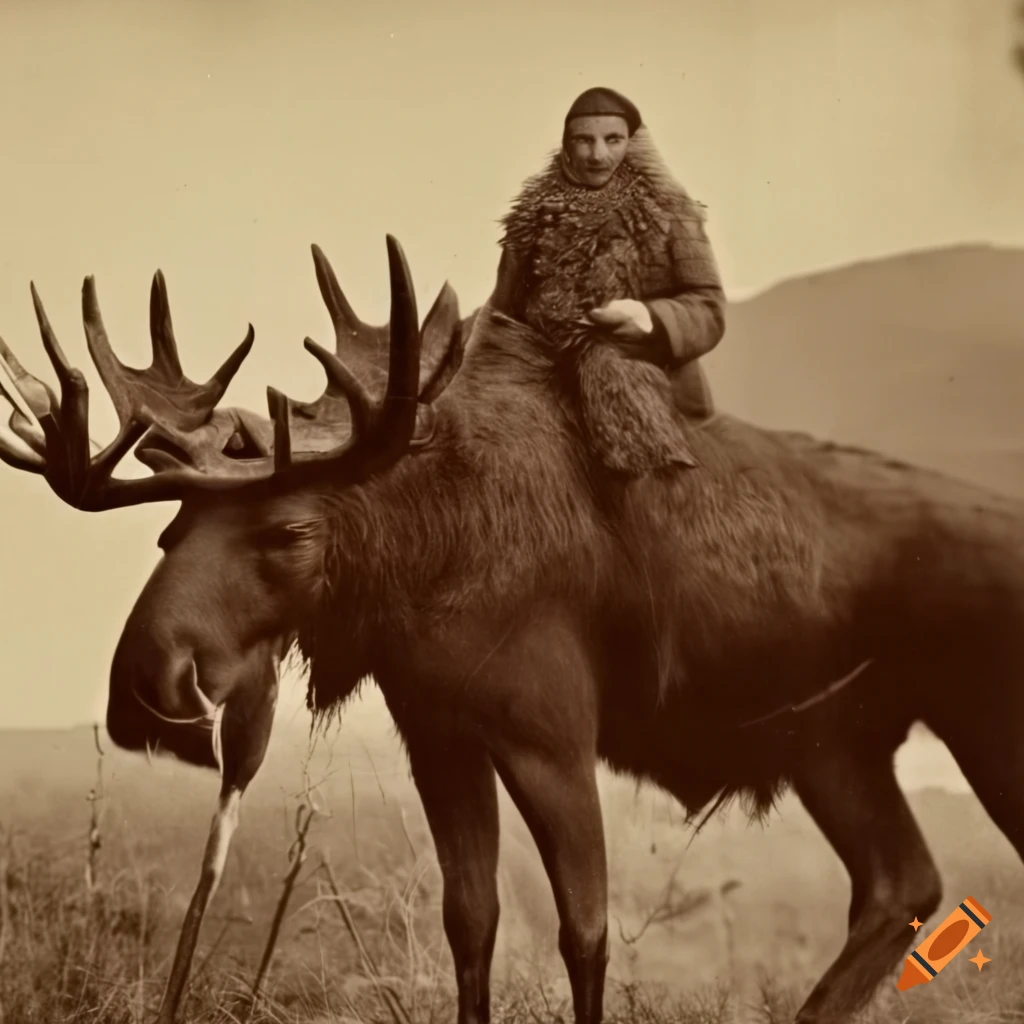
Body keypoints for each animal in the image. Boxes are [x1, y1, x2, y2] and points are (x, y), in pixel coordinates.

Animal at [1, 236, 1022, 1024]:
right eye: (169, 529)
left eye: (288, 531)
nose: (148, 687)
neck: (422, 559)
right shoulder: (442, 738)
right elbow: (473, 921)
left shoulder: (550, 737)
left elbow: (585, 929)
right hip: (837, 746)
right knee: (899, 884)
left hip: (979, 731)